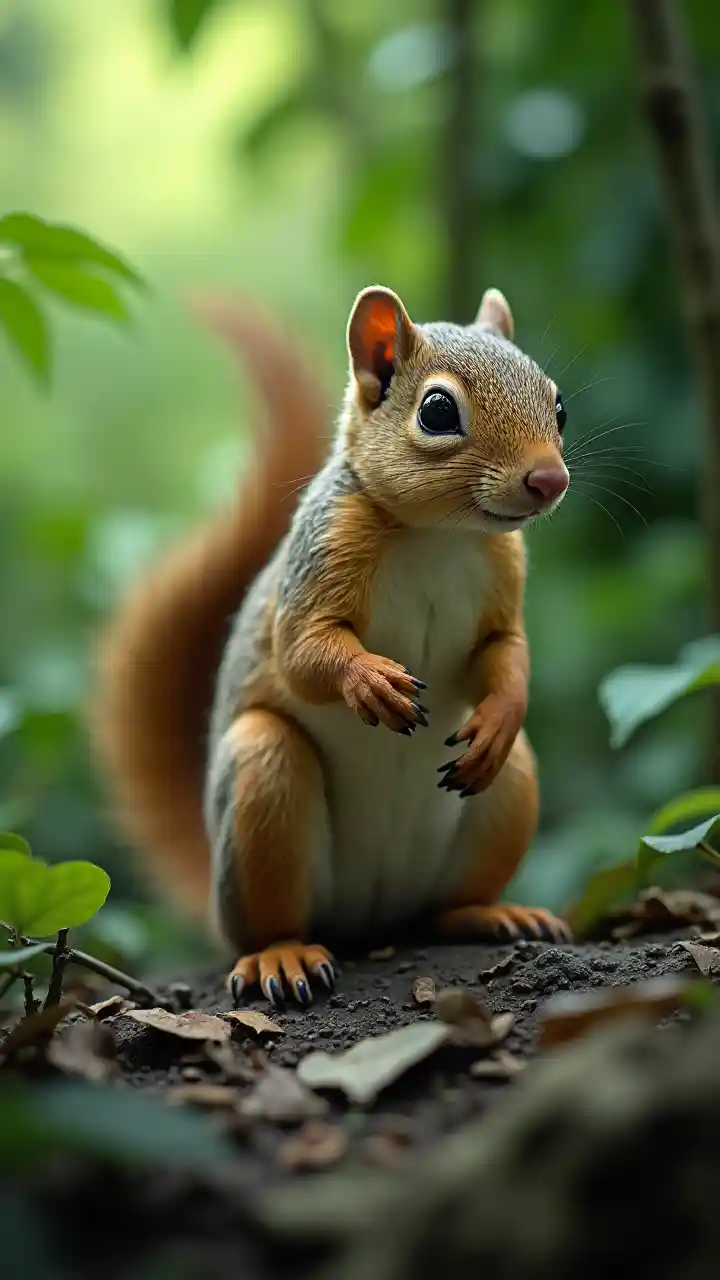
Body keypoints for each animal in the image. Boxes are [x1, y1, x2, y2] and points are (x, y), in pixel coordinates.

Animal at [92, 284, 572, 1008]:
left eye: (558, 404)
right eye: (437, 411)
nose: (549, 479)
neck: (441, 535)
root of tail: (372, 918)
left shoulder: (502, 582)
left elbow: (505, 651)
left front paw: (502, 711)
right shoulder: (321, 554)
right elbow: (303, 650)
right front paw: (370, 681)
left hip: (512, 788)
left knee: (446, 904)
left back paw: (492, 912)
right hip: (264, 781)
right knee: (270, 917)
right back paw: (282, 955)